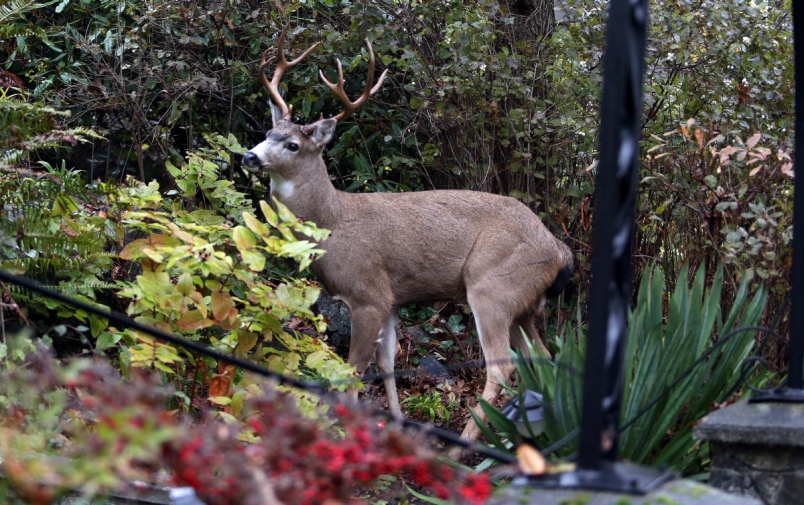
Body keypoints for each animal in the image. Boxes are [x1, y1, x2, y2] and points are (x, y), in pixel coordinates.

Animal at [241, 26, 574, 448]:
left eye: (293, 144)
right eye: (268, 132)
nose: (249, 156)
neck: (331, 224)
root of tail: (559, 250)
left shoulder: (367, 292)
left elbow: (353, 370)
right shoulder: (392, 298)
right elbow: (387, 362)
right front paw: (396, 426)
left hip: (495, 287)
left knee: (501, 367)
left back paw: (464, 446)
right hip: (524, 304)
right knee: (543, 357)